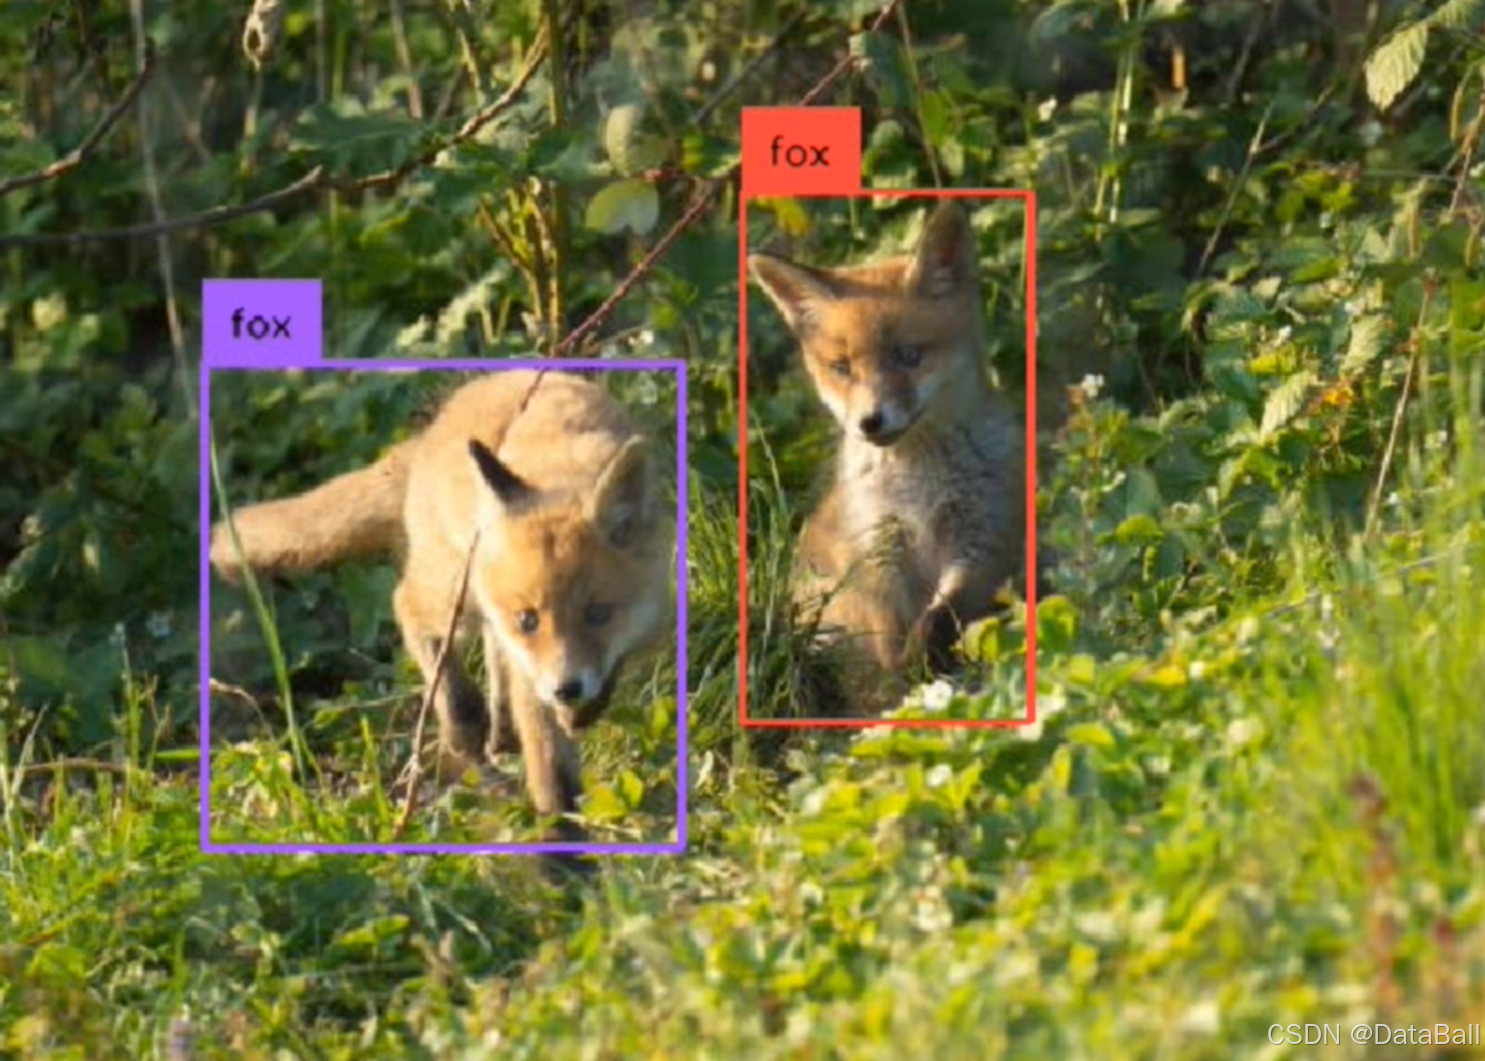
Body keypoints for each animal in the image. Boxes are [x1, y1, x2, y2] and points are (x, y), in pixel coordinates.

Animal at [209, 371, 672, 841]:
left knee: (489, 652)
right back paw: (466, 726)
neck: (563, 474)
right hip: (453, 586)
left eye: (598, 614)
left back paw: (500, 731)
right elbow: (551, 771)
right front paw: (562, 839)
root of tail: (432, 430)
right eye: (529, 620)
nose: (566, 689)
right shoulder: (530, 664)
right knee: (409, 608)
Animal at [748, 201, 1025, 687]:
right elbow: (884, 634)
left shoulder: (980, 539)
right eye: (842, 368)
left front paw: (923, 660)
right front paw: (898, 677)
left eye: (909, 356)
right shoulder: (877, 546)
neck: (919, 487)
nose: (870, 422)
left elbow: (942, 613)